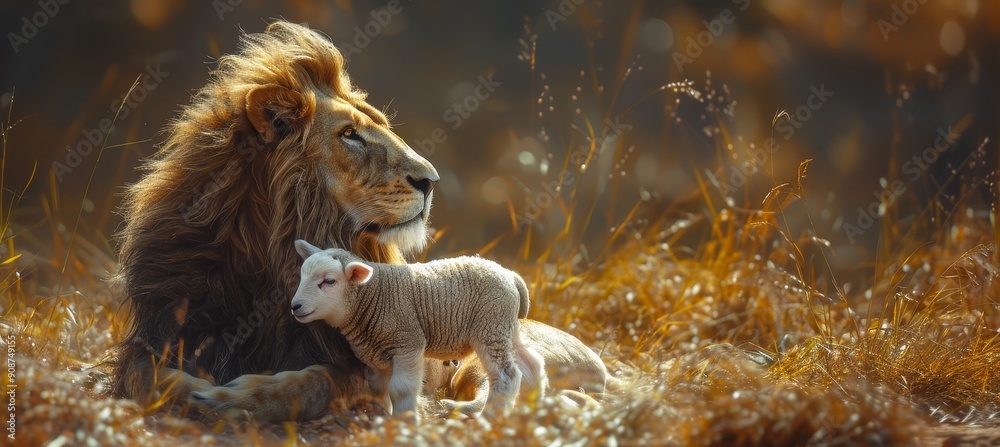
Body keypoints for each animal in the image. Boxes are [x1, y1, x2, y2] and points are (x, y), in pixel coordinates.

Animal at [111, 21, 440, 422]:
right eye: (350, 135)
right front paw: (188, 391)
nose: (431, 181)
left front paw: (229, 397)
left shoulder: (367, 366)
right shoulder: (160, 333)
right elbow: (145, 375)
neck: (268, 253)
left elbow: (309, 383)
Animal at [291, 240, 546, 421]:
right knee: (532, 363)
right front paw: (386, 417)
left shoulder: (407, 341)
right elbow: (379, 388)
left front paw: (406, 423)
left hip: (490, 324)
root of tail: (510, 275)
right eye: (302, 276)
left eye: (329, 281)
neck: (374, 293)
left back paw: (492, 417)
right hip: (505, 325)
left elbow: (401, 389)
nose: (295, 307)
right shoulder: (380, 353)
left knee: (506, 376)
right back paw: (532, 408)